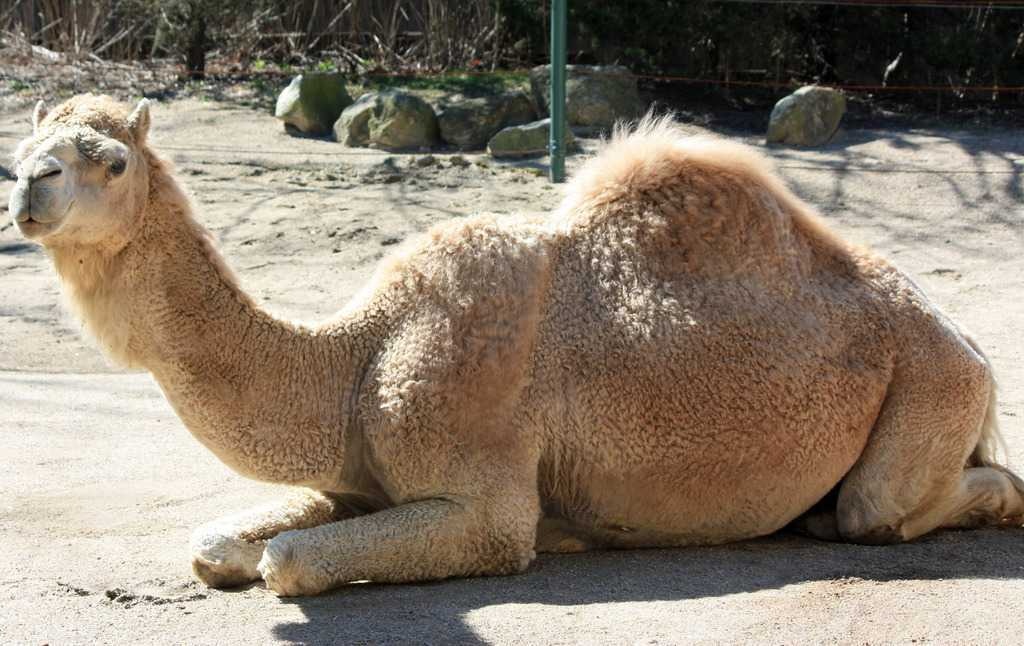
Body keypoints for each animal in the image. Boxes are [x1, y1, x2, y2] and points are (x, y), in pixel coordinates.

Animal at [11, 94, 1024, 597]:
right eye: (27, 149)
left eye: (113, 160)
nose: (29, 186)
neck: (357, 357)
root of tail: (963, 336)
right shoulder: (361, 477)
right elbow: (218, 542)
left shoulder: (485, 500)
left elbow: (288, 564)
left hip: (931, 385)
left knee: (887, 507)